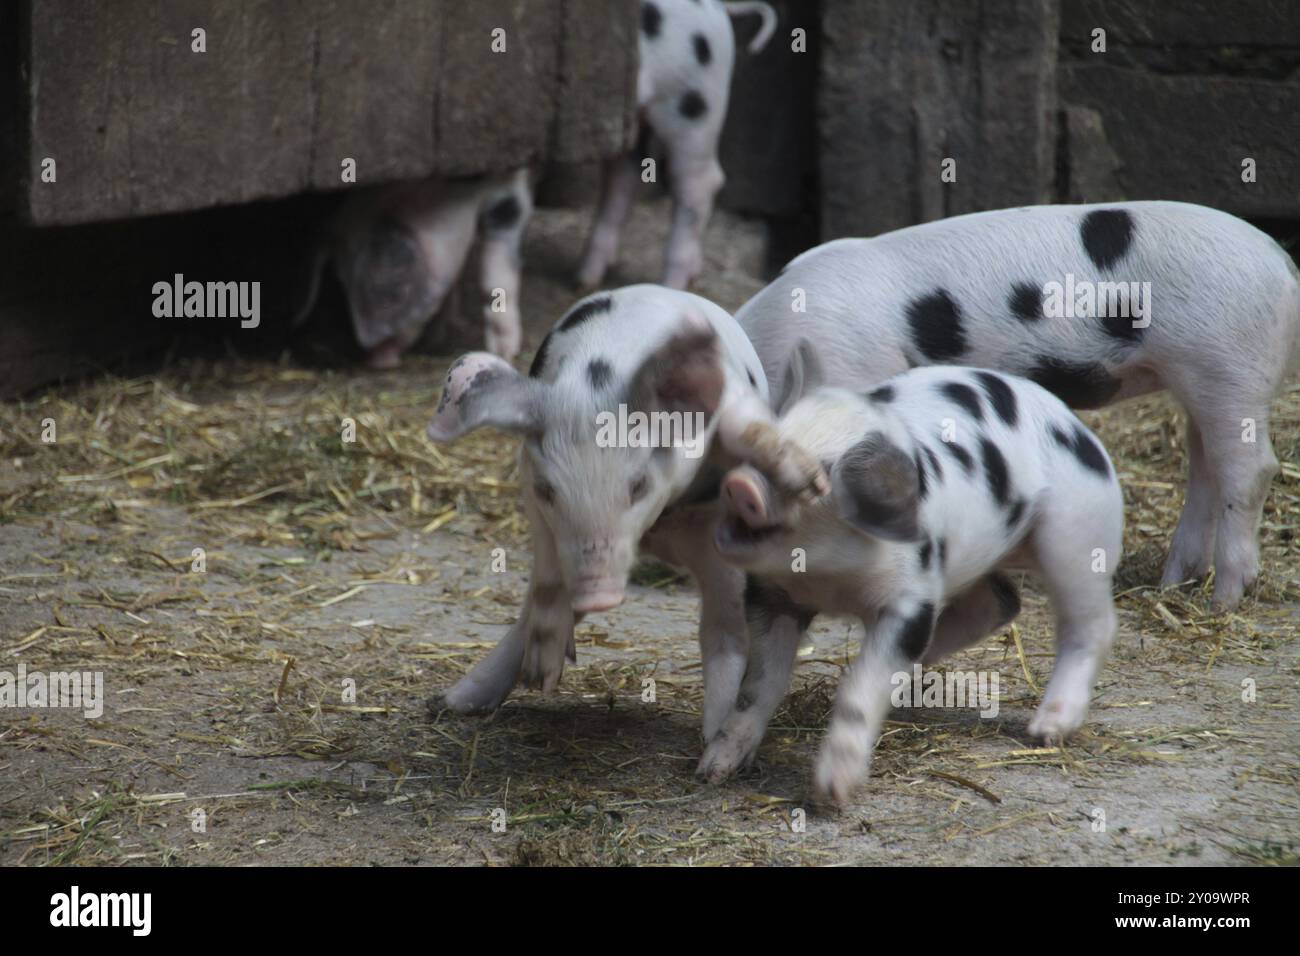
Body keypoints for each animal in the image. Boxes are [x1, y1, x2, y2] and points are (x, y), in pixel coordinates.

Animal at [295, 168, 533, 368]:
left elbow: (497, 275)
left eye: (395, 293)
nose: (372, 358)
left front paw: (503, 352)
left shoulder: (508, 186)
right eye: (342, 281)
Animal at [425, 284, 827, 737]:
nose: (599, 594)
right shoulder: (532, 490)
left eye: (638, 485)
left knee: (723, 630)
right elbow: (547, 578)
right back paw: (454, 701)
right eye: (549, 490)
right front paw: (542, 677)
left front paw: (811, 485)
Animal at [576, 0, 778, 291]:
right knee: (626, 172)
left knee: (700, 182)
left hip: (690, 103)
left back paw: (671, 285)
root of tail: (717, 8)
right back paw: (584, 280)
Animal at [698, 352, 1125, 804]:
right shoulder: (774, 596)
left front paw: (832, 793)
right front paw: (713, 770)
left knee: (1091, 625)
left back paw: (1046, 731)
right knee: (1001, 601)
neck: (830, 579)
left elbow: (860, 686)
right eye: (772, 444)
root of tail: (1078, 428)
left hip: (1077, 534)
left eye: (821, 477)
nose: (739, 485)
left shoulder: (910, 600)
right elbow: (758, 685)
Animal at [736, 201, 1300, 608]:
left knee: (1250, 468)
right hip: (1197, 380)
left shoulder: (851, 372)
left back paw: (1224, 600)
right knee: (1205, 464)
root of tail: (1282, 265)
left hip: (1227, 367)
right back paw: (1172, 585)